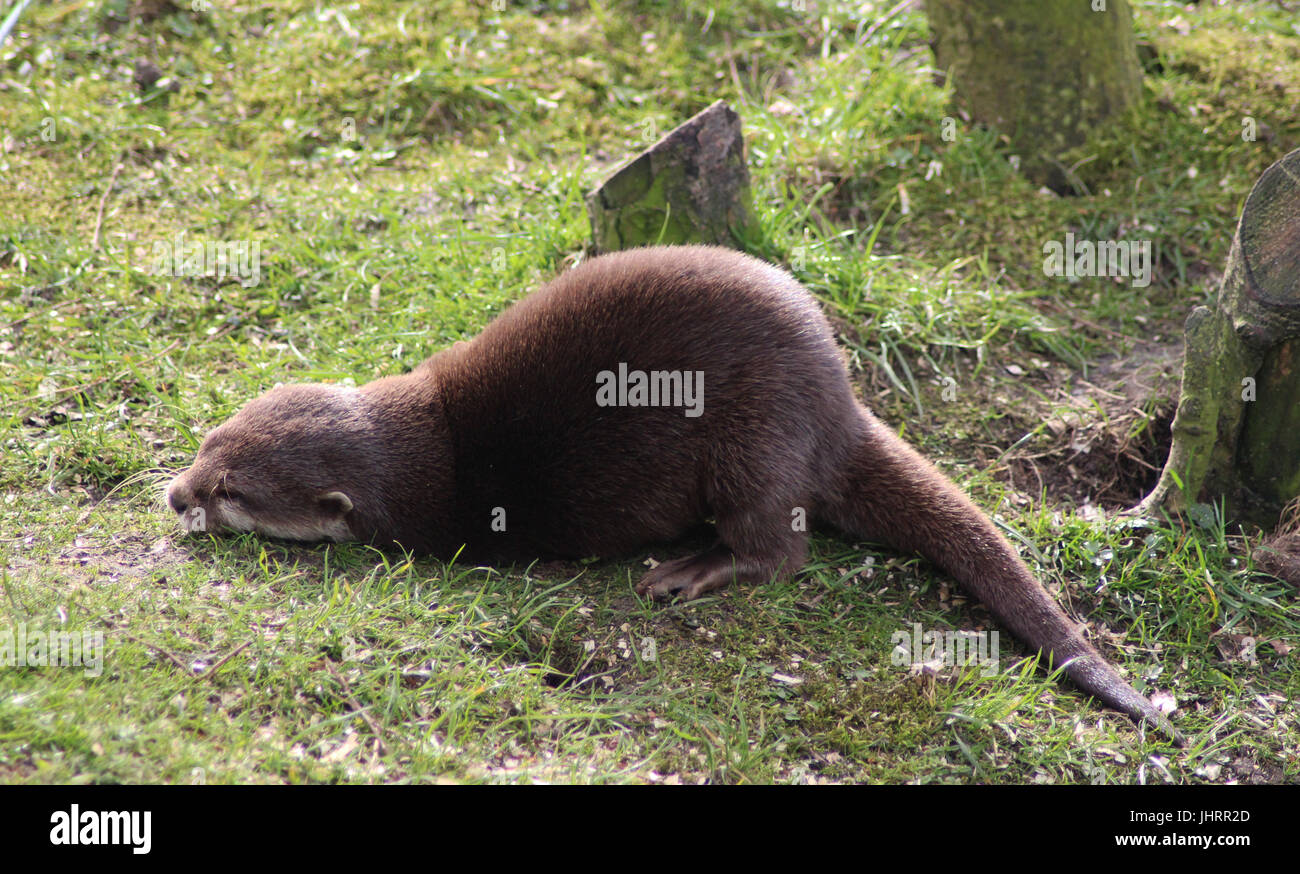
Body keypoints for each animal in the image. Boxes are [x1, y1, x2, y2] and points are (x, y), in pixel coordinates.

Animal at [167, 245, 1182, 744]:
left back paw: (685, 573)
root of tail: (839, 402)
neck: (432, 444)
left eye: (233, 490)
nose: (177, 495)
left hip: (752, 445)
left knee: (781, 549)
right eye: (212, 439)